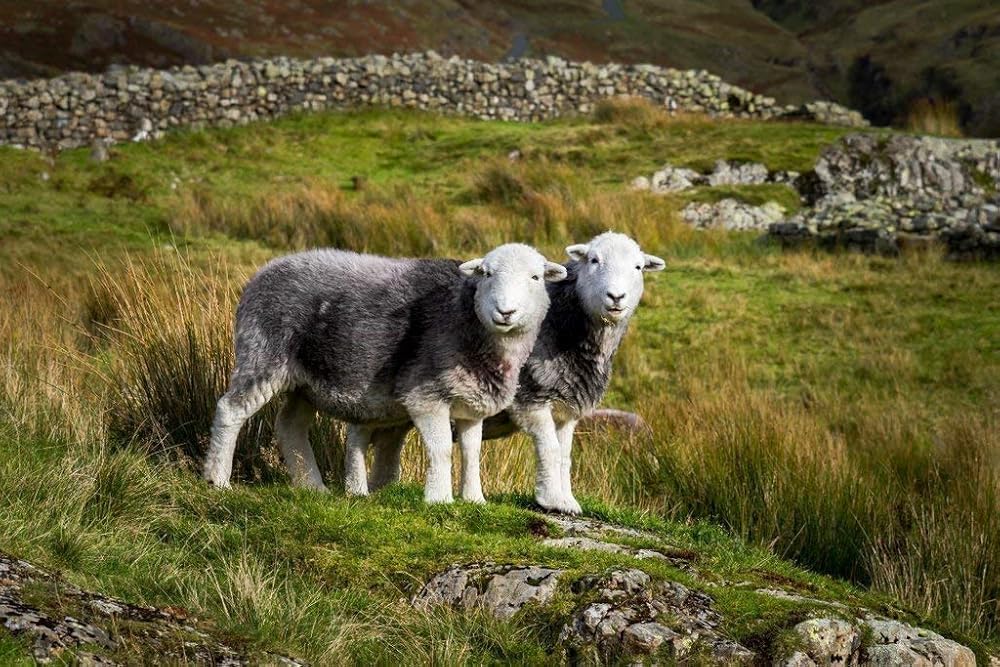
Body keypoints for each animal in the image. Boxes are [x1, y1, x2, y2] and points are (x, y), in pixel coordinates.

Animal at [202, 244, 568, 504]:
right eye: (486, 274)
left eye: (535, 278)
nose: (506, 312)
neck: (466, 319)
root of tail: (263, 271)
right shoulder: (425, 396)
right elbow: (441, 450)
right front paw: (439, 500)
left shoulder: (470, 404)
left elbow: (471, 453)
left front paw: (474, 500)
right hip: (263, 351)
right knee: (231, 410)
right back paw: (217, 479)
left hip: (303, 380)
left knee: (290, 425)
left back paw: (312, 487)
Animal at [366, 232, 665, 514]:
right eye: (594, 260)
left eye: (638, 267)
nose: (616, 297)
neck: (564, 327)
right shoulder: (531, 401)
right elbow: (550, 449)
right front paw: (551, 499)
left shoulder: (566, 409)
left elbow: (565, 455)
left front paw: (567, 500)